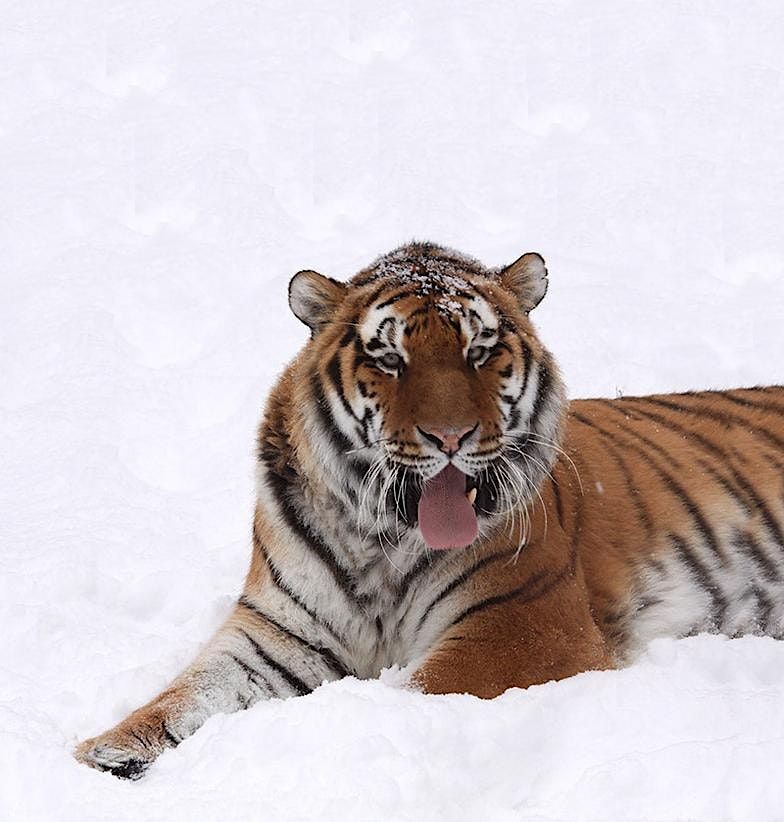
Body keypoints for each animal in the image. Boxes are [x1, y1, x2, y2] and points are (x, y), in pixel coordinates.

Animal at [75, 241, 784, 779]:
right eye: (390, 359)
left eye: (480, 351)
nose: (450, 437)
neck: (378, 539)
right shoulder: (280, 632)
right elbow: (190, 693)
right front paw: (106, 754)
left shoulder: (522, 626)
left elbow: (414, 692)